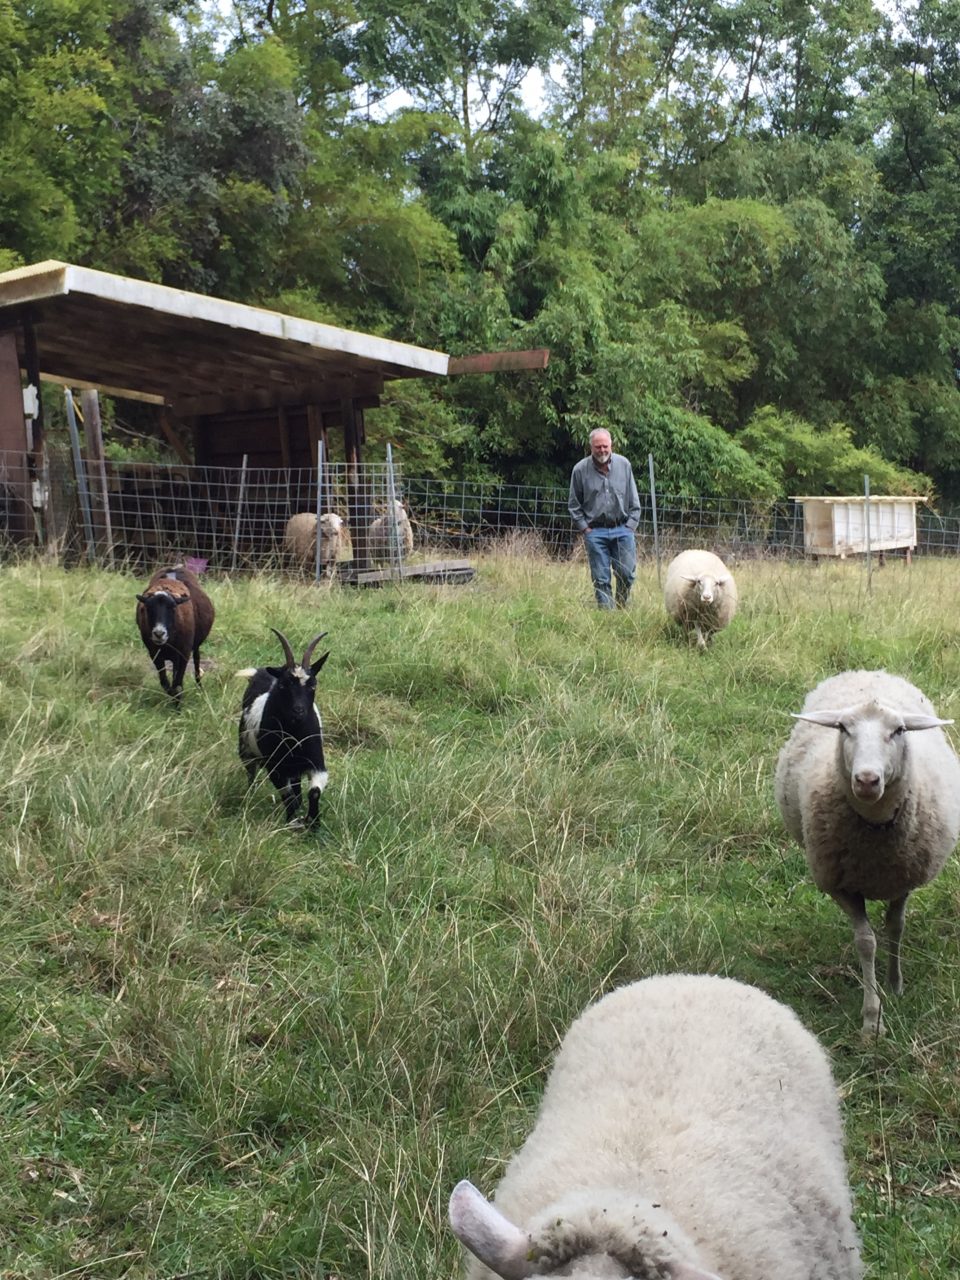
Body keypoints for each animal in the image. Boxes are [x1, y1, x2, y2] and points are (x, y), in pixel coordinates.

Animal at [135, 564, 214, 705]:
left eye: (172, 608)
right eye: (148, 608)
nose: (159, 633)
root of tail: (174, 567)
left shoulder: (184, 653)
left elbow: (177, 685)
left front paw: (177, 705)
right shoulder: (155, 654)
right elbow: (165, 683)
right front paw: (172, 698)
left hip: (194, 648)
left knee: (196, 662)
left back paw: (199, 688)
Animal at [238, 628, 330, 828]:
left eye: (313, 685)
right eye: (283, 685)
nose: (299, 711)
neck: (295, 735)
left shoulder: (317, 763)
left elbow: (314, 792)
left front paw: (314, 823)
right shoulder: (276, 767)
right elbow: (289, 798)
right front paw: (293, 822)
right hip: (246, 750)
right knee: (251, 775)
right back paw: (249, 797)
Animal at [774, 669, 960, 1035]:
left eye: (898, 730)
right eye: (843, 728)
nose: (867, 780)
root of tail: (867, 672)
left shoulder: (903, 879)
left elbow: (895, 927)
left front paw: (895, 984)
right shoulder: (841, 884)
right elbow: (866, 942)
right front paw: (872, 1018)